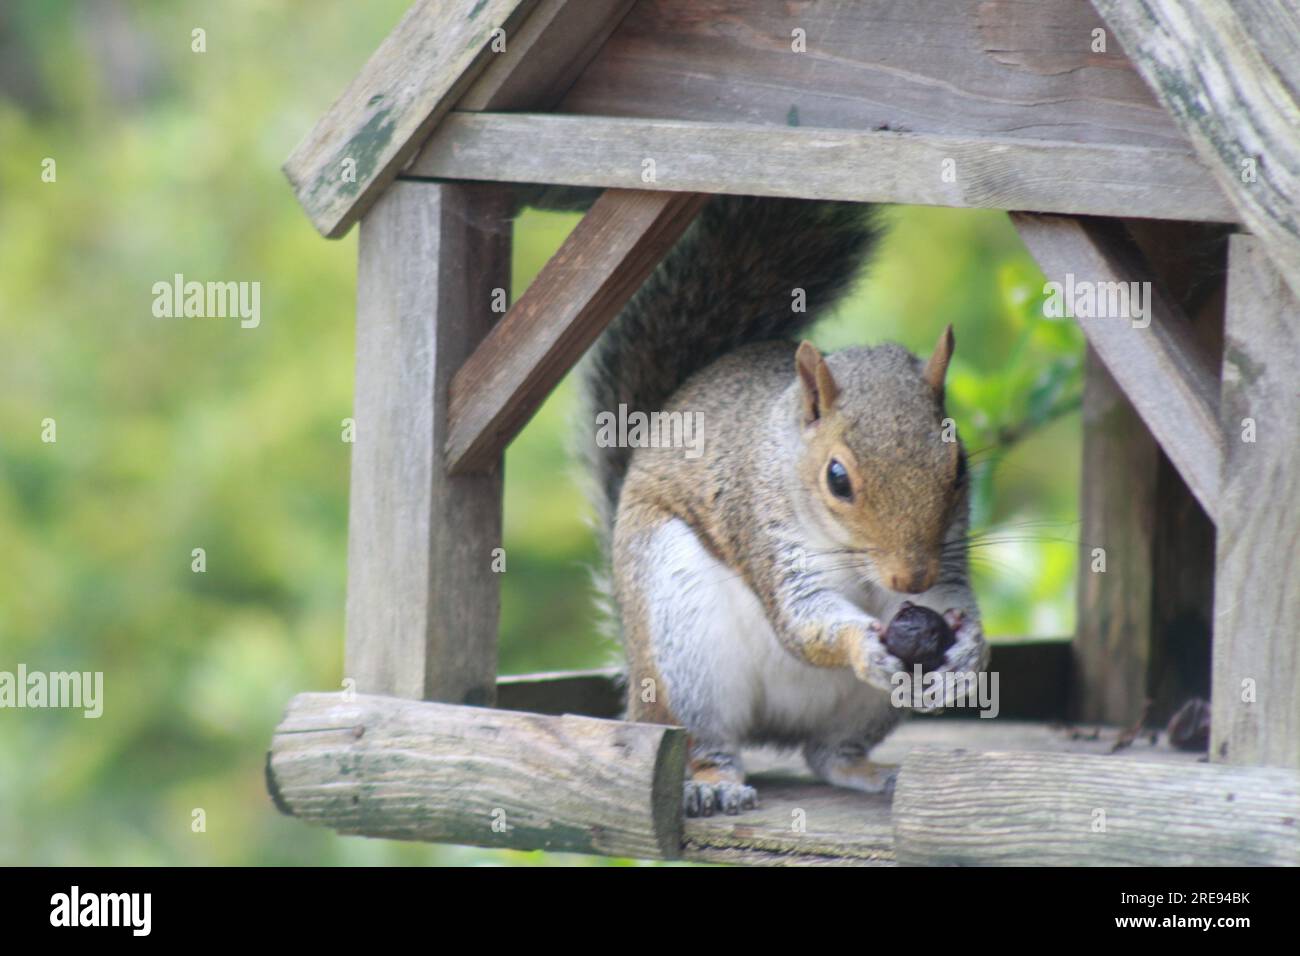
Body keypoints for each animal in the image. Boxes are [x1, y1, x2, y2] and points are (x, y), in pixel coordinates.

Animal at [580, 195, 988, 817]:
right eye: (837, 479)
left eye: (959, 464)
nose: (910, 578)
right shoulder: (765, 530)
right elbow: (803, 621)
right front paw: (860, 645)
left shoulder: (946, 556)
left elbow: (952, 599)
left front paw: (968, 652)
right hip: (680, 648)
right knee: (701, 740)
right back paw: (711, 783)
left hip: (862, 710)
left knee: (828, 755)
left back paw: (869, 772)